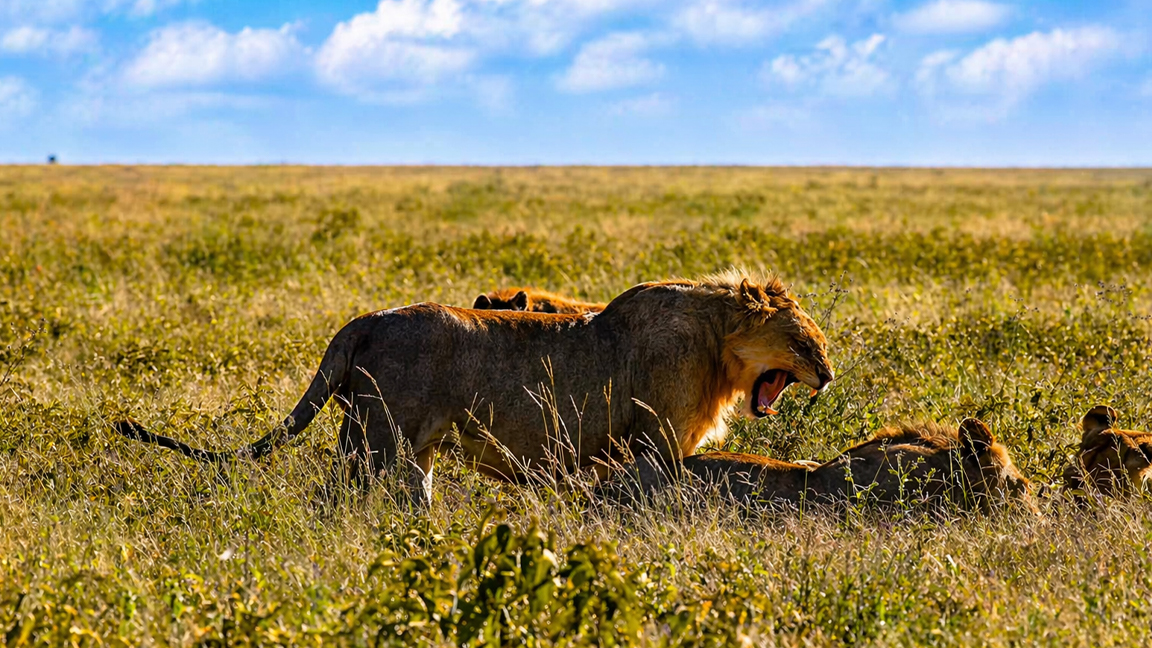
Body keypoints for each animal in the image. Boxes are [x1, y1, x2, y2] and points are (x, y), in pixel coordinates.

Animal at [113, 272, 835, 509]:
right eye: (807, 342)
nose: (829, 376)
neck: (718, 345)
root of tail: (363, 319)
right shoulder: (656, 441)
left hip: (404, 446)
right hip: (379, 438)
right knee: (337, 498)